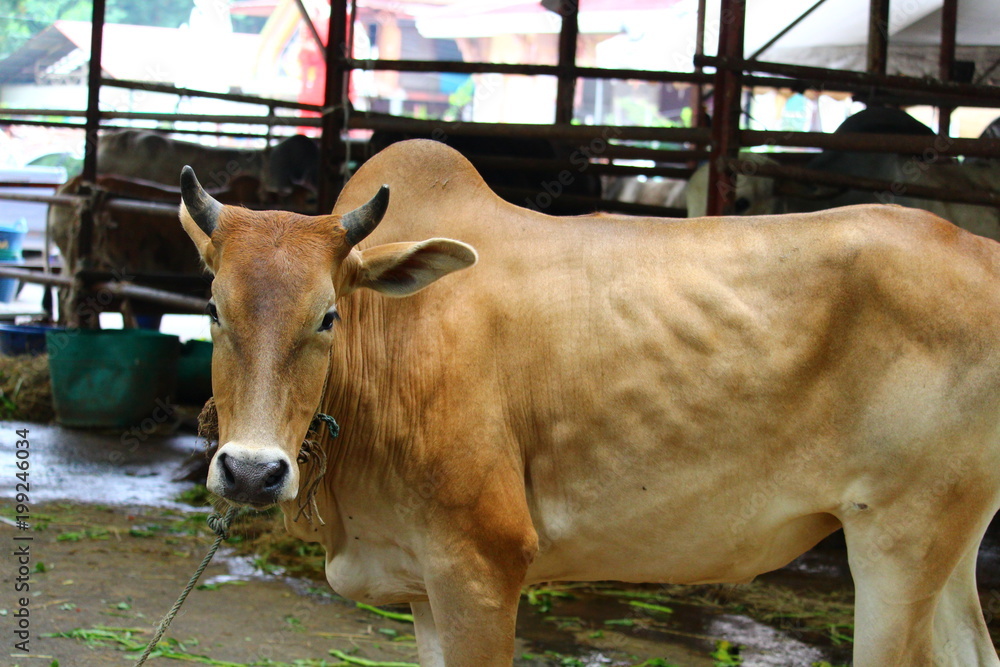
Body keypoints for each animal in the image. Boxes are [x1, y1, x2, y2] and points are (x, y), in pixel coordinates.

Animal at [179, 138, 1000, 666]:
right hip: (941, 543)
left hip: (898, 540)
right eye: (213, 305)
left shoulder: (481, 567)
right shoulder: (423, 586)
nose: (251, 472)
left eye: (328, 315)